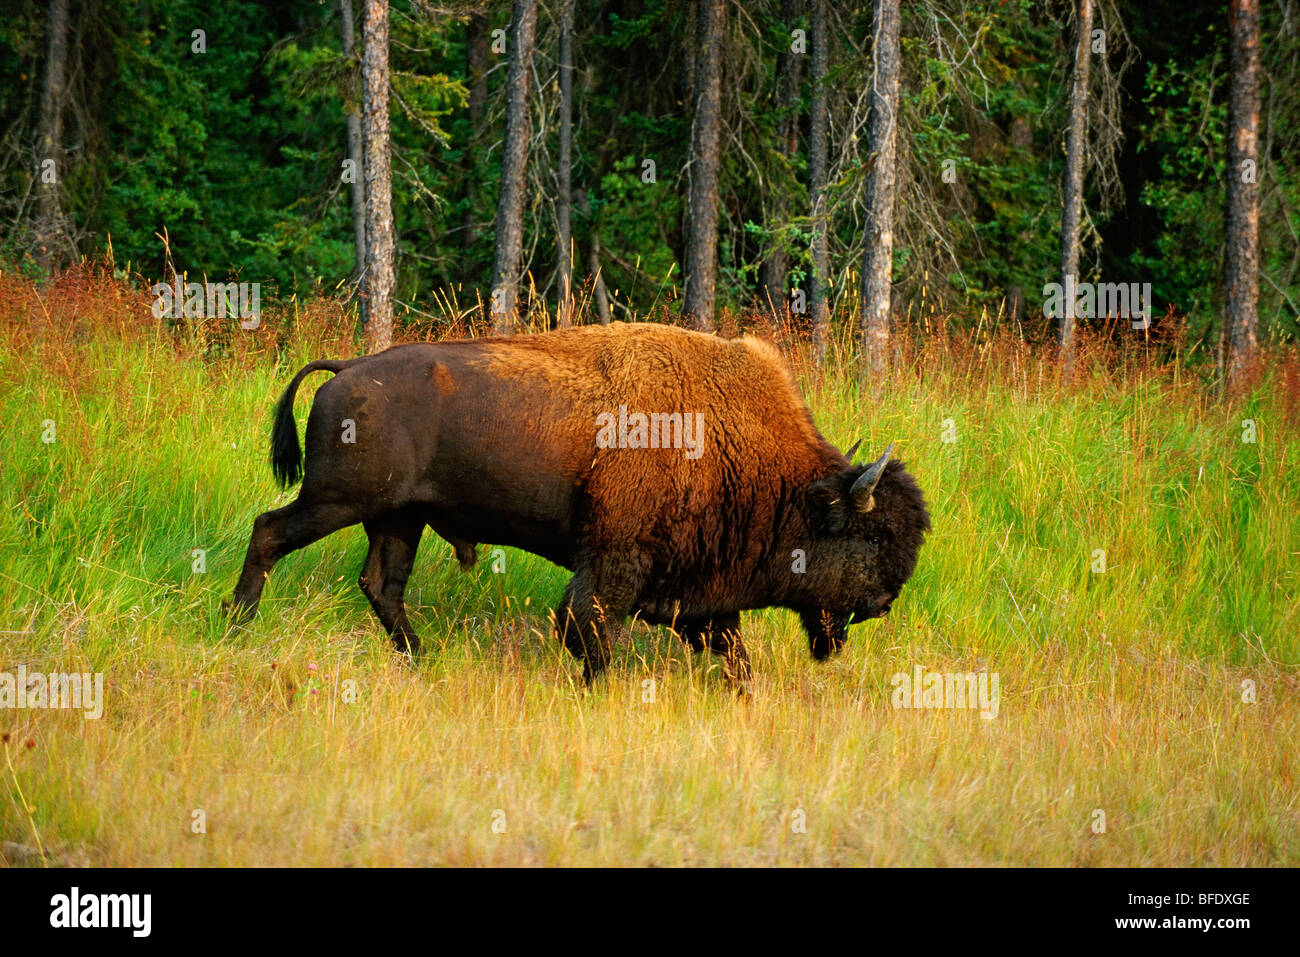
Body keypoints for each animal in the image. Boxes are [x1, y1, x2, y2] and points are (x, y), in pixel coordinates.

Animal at [228, 322, 930, 690]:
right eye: (873, 538)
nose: (884, 602)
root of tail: (349, 367)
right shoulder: (616, 562)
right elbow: (588, 630)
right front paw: (596, 688)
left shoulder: (697, 587)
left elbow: (731, 650)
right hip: (337, 501)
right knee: (269, 533)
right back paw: (238, 627)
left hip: (398, 518)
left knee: (382, 584)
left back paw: (421, 658)